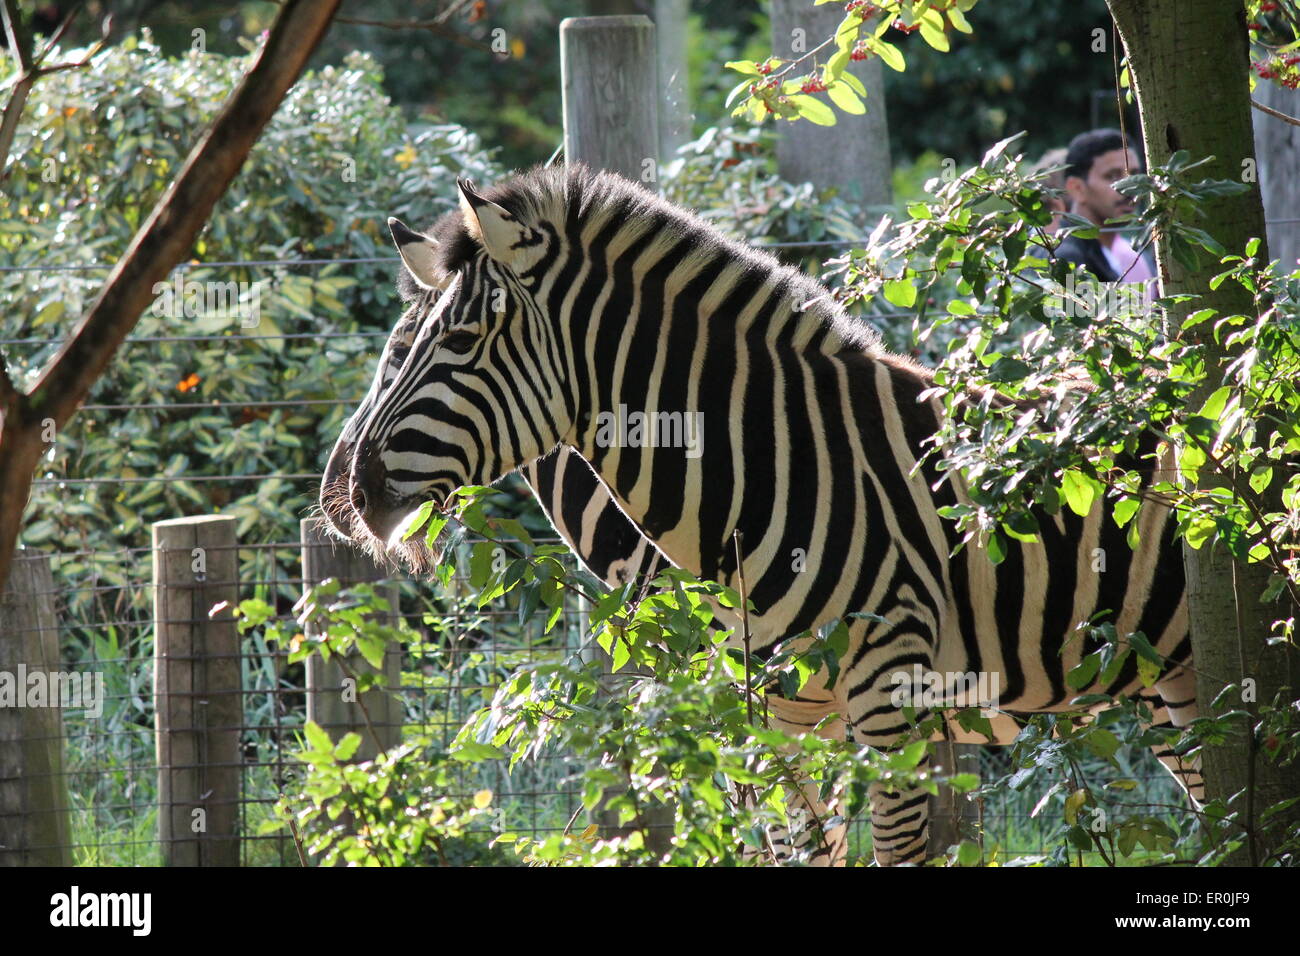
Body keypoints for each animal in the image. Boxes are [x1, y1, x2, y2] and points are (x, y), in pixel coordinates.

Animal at [323, 164, 1203, 865]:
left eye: (457, 339)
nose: (349, 495)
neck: (766, 468)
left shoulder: (888, 694)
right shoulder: (770, 714)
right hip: (1170, 677)